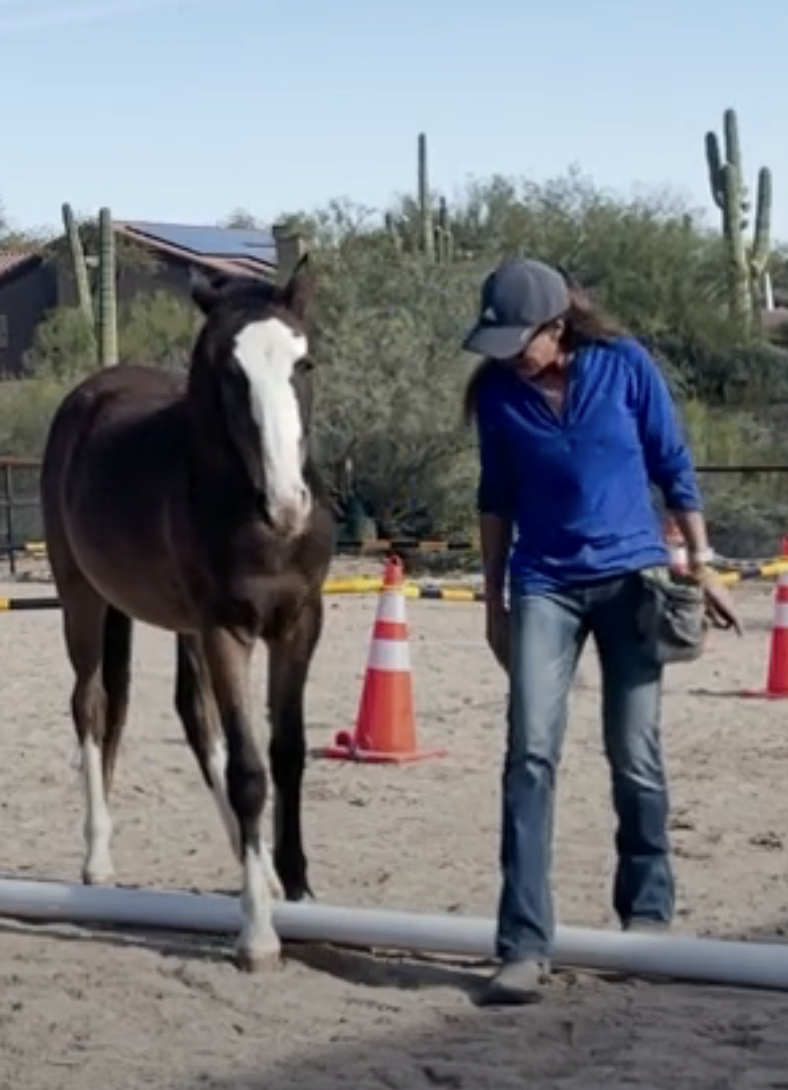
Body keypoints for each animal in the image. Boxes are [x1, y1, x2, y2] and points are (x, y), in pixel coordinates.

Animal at [39, 253, 335, 971]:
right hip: (84, 599)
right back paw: (98, 858)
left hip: (178, 626)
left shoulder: (298, 624)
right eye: (231, 373)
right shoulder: (226, 630)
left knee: (196, 722)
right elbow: (251, 771)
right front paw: (258, 935)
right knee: (91, 705)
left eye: (305, 363)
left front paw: (297, 887)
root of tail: (90, 393)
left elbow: (286, 752)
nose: (288, 505)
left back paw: (253, 866)